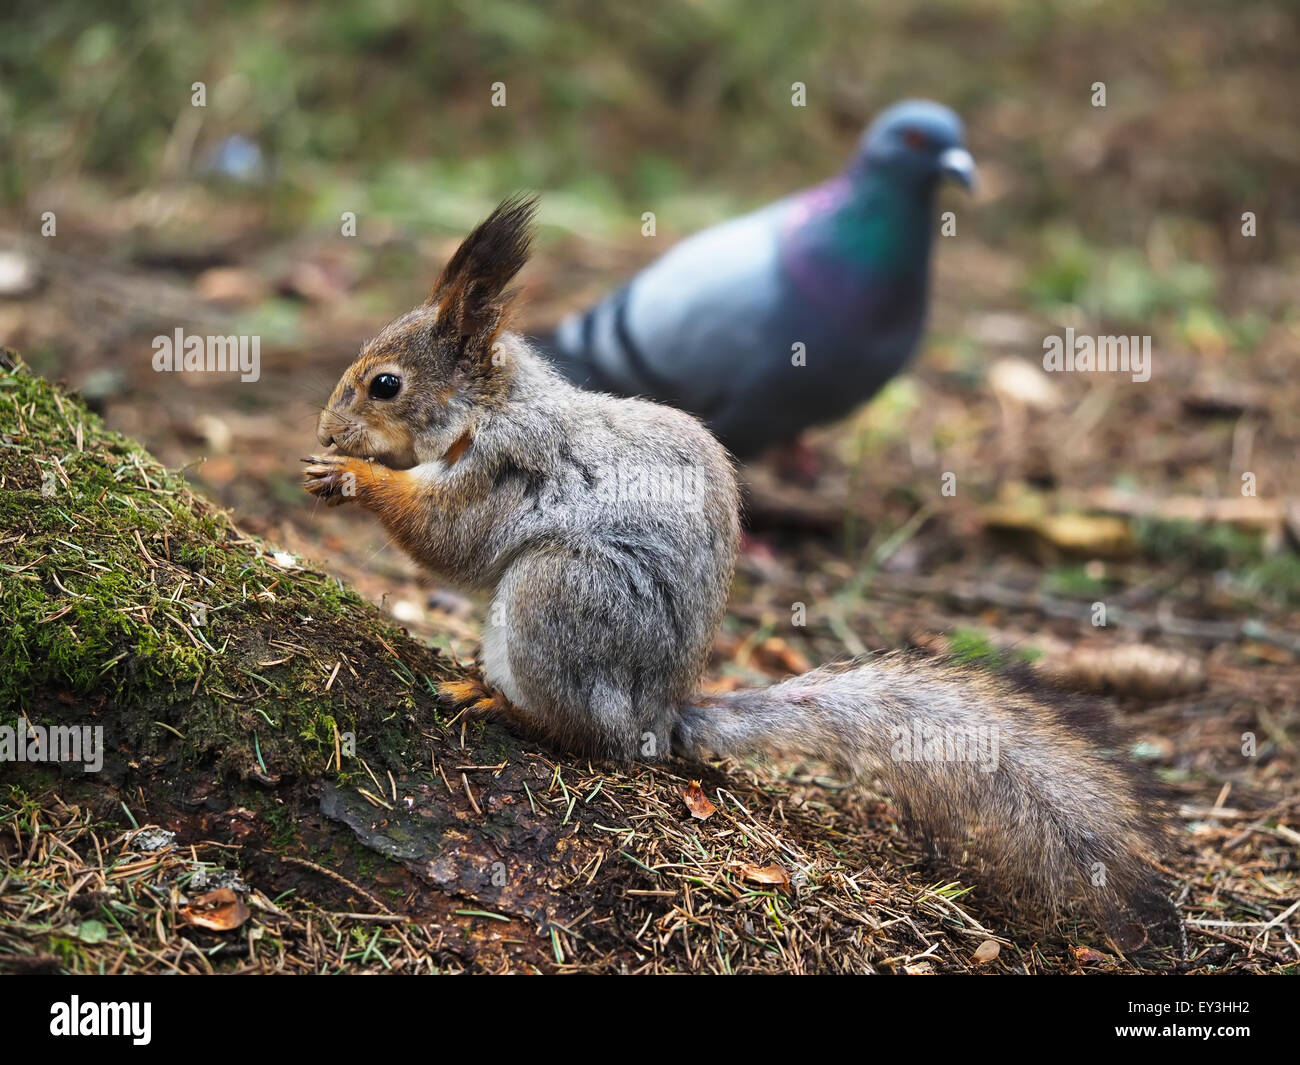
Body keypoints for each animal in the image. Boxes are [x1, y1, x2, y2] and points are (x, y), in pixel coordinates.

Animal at [304, 195, 1164, 926]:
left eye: (385, 385)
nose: (326, 428)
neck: (490, 408)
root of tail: (663, 715)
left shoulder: (507, 466)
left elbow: (449, 537)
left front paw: (353, 476)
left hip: (564, 593)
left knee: (591, 736)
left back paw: (506, 705)